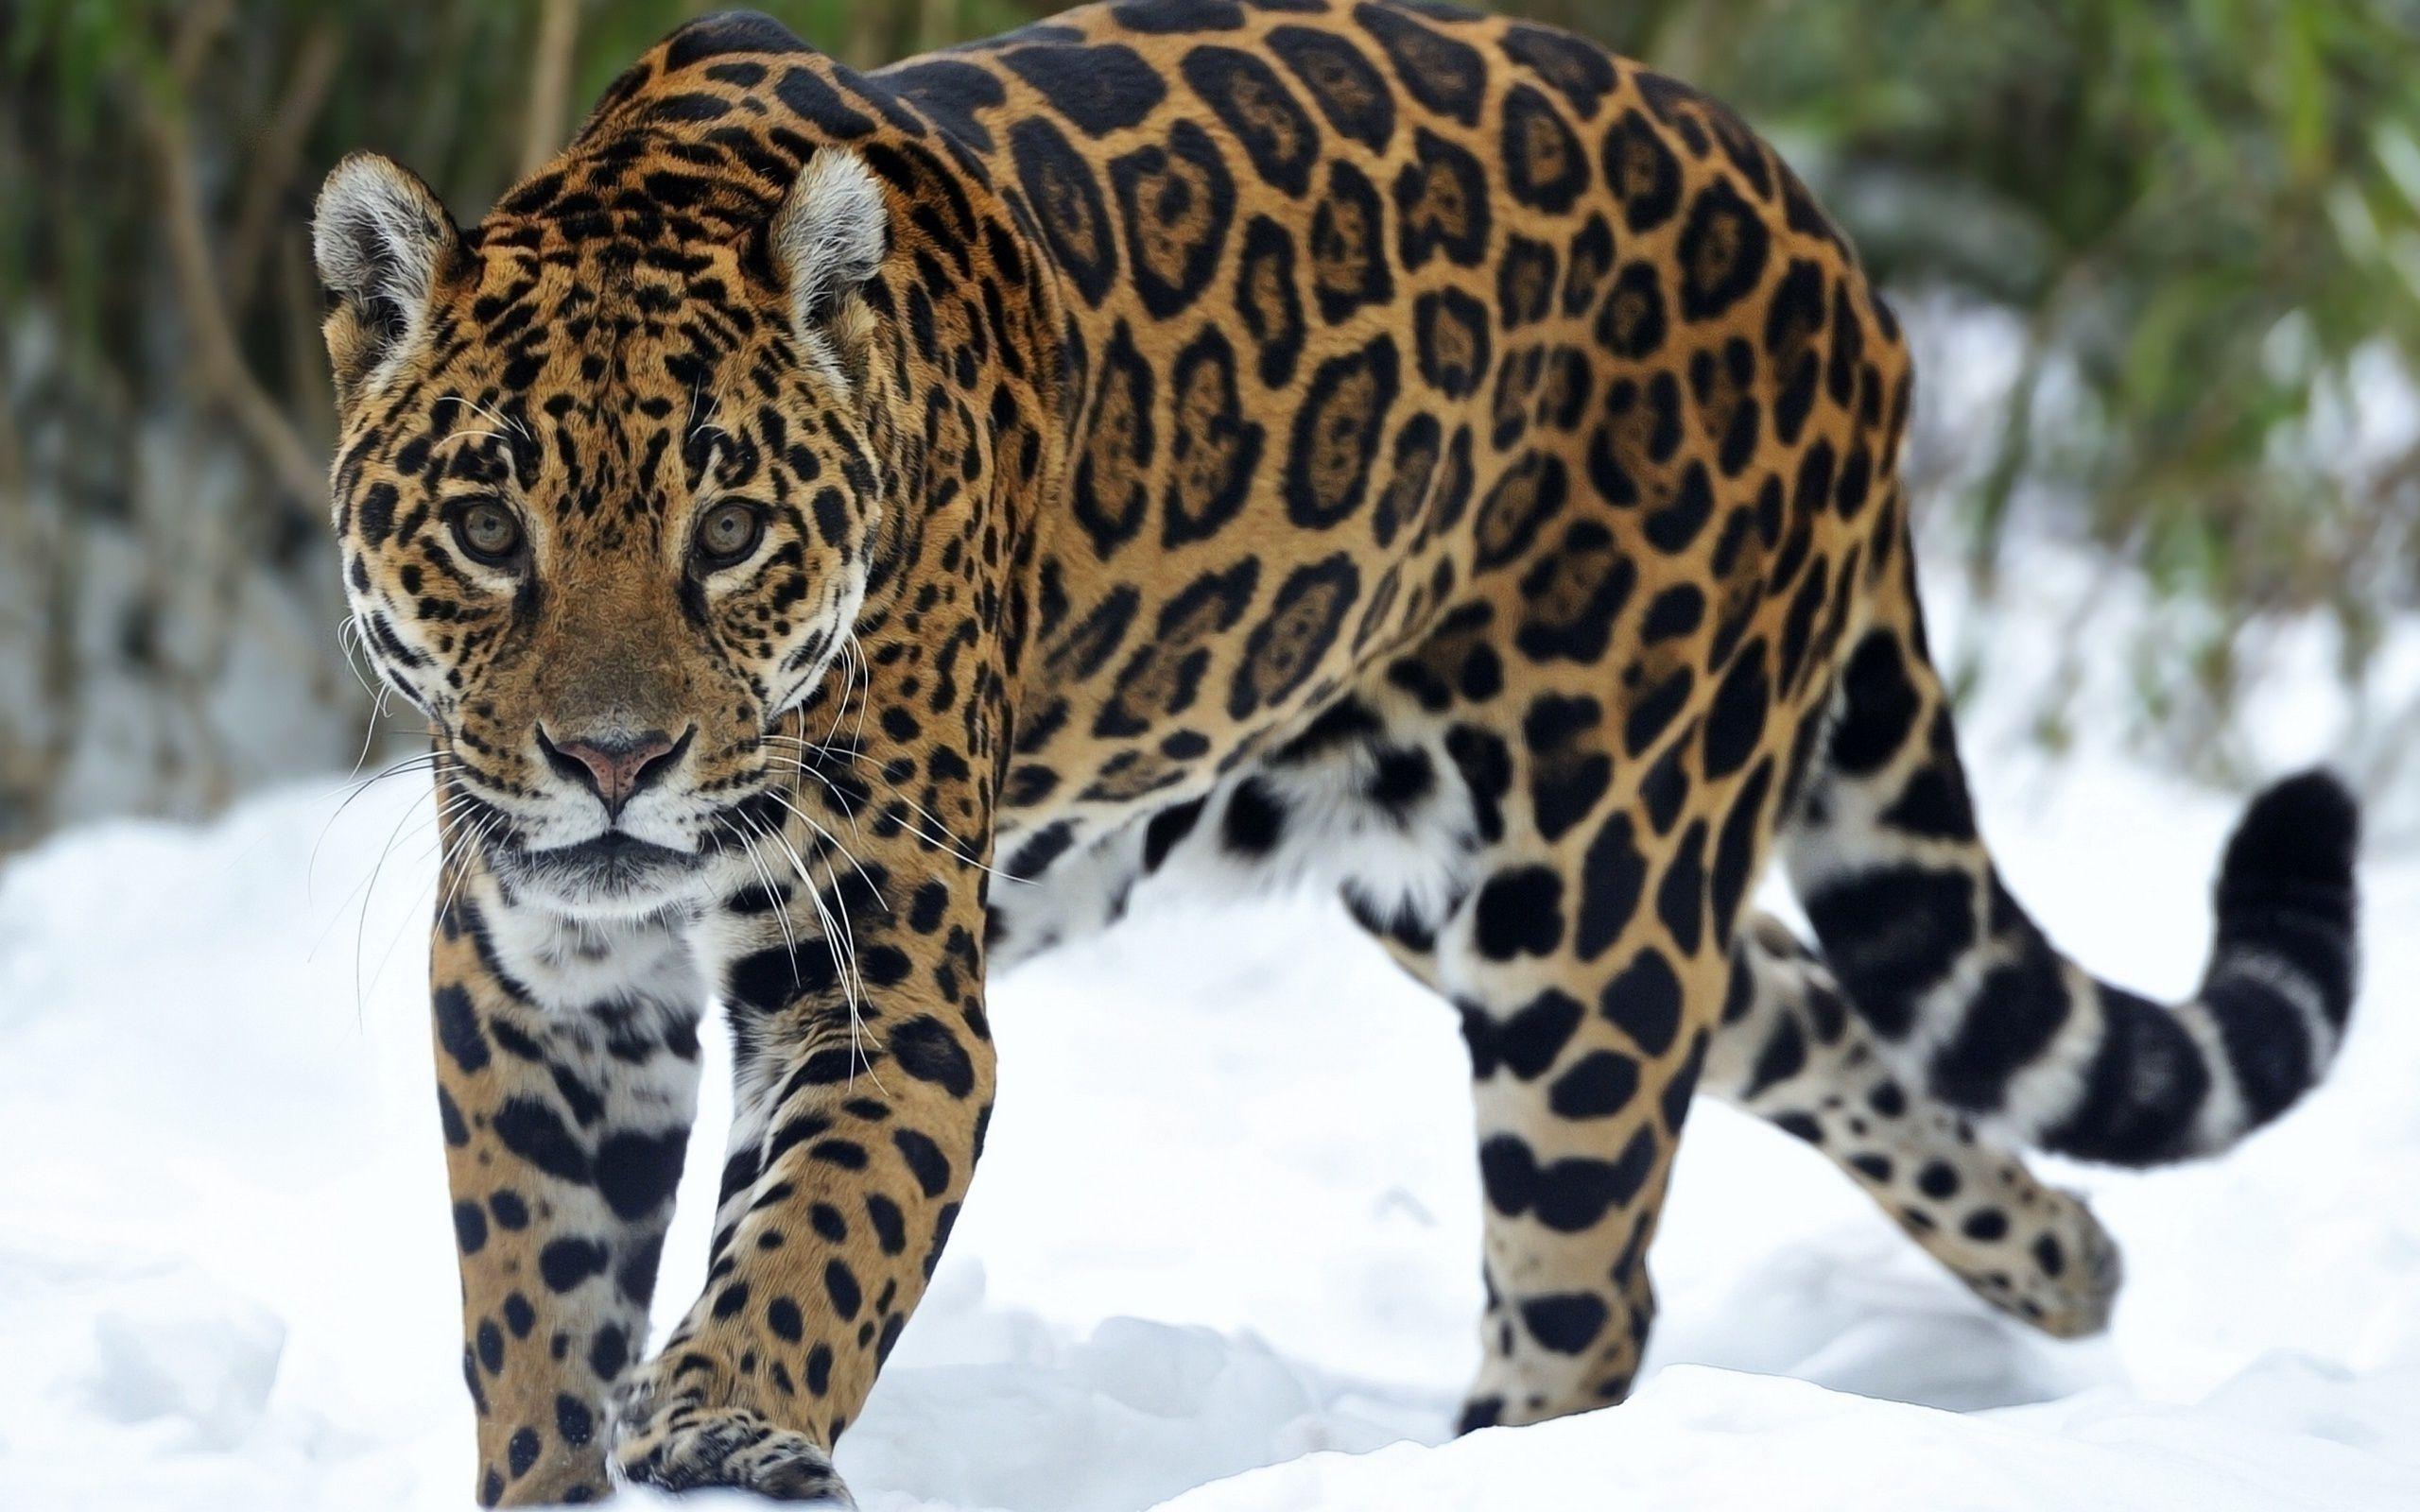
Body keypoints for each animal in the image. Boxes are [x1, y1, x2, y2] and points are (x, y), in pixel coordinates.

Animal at [307, 2, 2363, 1503]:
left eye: (728, 532)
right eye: (487, 528)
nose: (612, 761)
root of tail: (1823, 235)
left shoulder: (874, 983)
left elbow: (813, 1238)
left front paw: (729, 1411)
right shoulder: (541, 986)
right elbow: (534, 1318)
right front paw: (573, 1451)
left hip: (1588, 900)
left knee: (1585, 1290)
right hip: (1473, 881)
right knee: (1808, 1004)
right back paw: (2062, 1257)